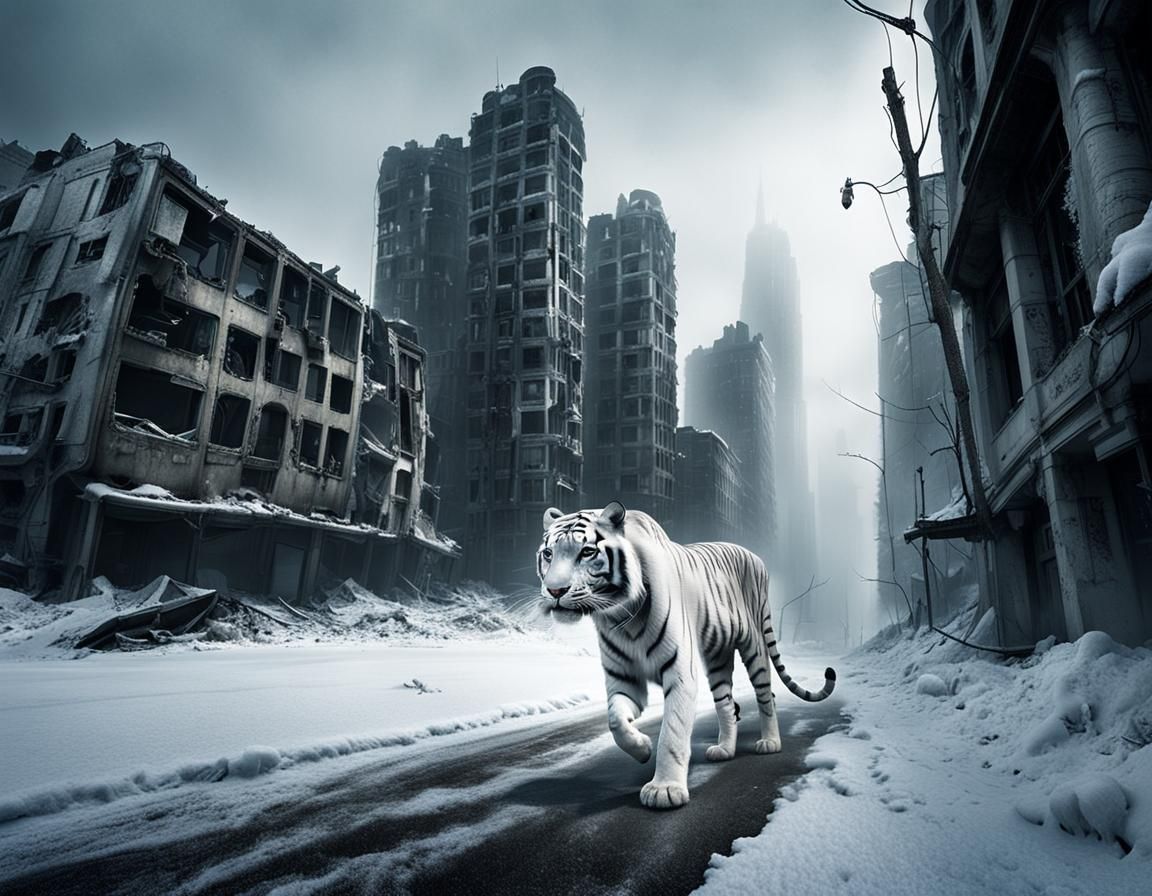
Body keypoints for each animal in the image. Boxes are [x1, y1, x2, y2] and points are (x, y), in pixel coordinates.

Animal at [537, 501, 836, 810]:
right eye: (548, 553)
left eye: (587, 552)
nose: (555, 590)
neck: (619, 615)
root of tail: (754, 556)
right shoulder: (624, 679)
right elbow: (616, 721)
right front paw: (642, 748)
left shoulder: (680, 674)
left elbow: (673, 731)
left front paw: (665, 790)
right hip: (717, 659)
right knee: (726, 705)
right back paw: (724, 749)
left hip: (754, 645)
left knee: (766, 695)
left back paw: (770, 743)